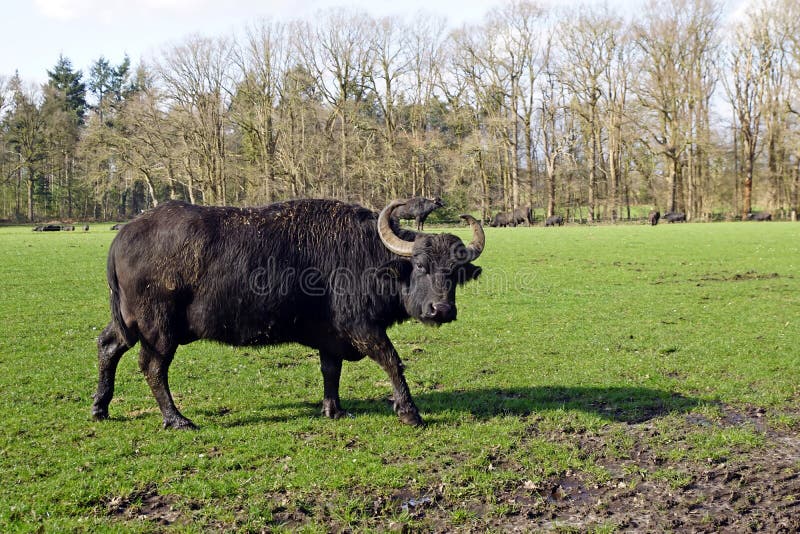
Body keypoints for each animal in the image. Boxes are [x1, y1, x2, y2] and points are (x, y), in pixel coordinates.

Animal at [91, 199, 485, 429]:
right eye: (419, 265)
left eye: (454, 271)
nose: (441, 309)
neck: (368, 258)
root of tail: (126, 234)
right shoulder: (362, 327)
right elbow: (392, 361)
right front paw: (410, 412)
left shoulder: (333, 336)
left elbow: (330, 369)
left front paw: (334, 409)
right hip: (159, 328)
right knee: (152, 367)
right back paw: (176, 419)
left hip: (128, 321)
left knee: (108, 345)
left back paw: (100, 407)